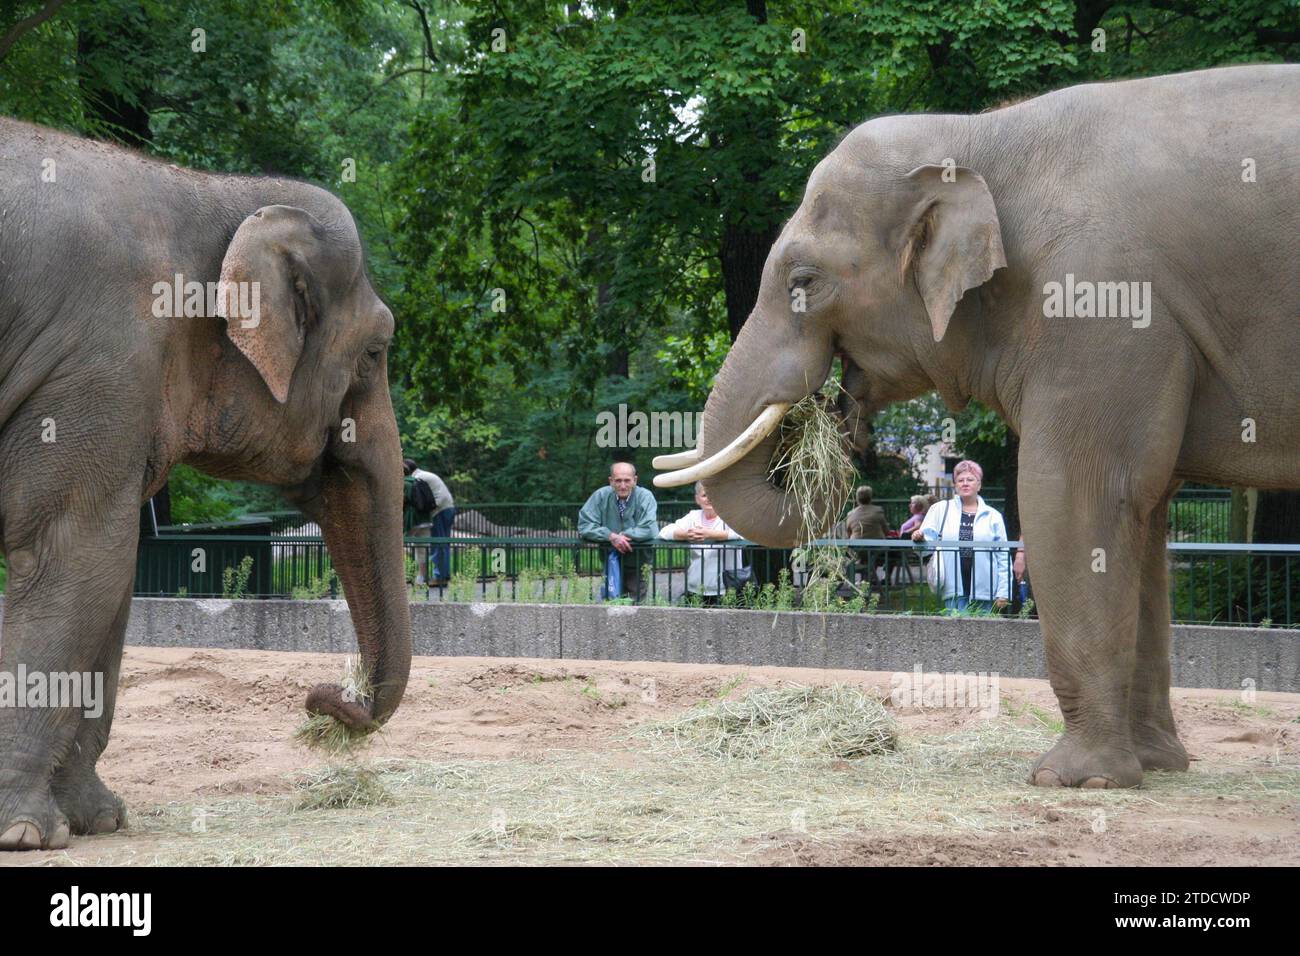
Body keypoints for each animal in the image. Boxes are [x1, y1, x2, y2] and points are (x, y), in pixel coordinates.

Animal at [0, 117, 411, 849]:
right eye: (375, 352)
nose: (322, 697)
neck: (214, 192)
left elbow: (112, 578)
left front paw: (98, 819)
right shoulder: (97, 366)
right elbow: (71, 558)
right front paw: (27, 834)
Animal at [655, 65, 1299, 788]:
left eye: (804, 280)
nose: (829, 420)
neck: (975, 133)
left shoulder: (1101, 304)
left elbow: (1074, 498)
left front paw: (1074, 780)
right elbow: (1143, 514)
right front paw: (1154, 769)